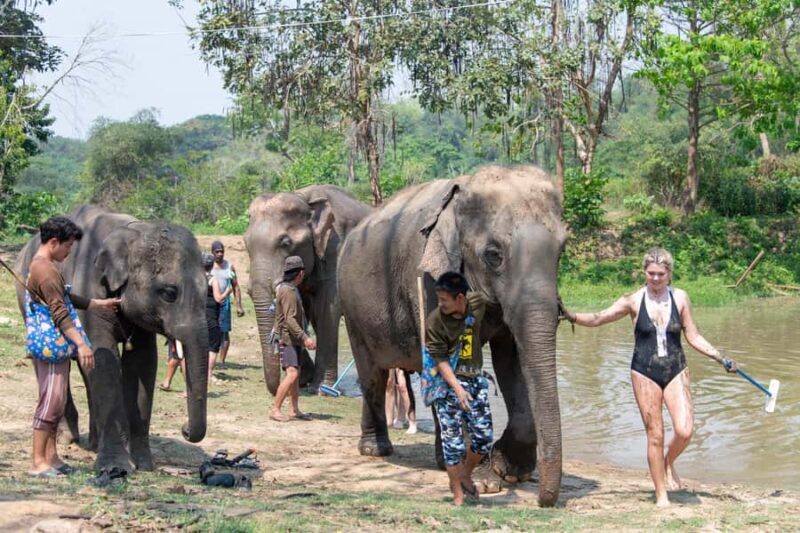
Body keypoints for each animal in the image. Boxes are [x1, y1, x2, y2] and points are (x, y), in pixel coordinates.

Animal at [15, 205, 209, 473]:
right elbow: (104, 358)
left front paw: (144, 465)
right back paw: (68, 439)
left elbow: (142, 363)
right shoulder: (89, 283)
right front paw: (115, 466)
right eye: (170, 293)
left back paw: (95, 443)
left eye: (208, 291)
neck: (134, 230)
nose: (185, 429)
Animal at [245, 185, 371, 394]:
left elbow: (328, 310)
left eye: (285, 243)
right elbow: (298, 308)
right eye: (246, 244)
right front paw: (303, 379)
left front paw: (320, 389)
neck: (305, 197)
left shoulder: (335, 247)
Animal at [337, 165, 567, 507]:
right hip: (352, 309)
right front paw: (486, 482)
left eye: (562, 250)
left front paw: (509, 471)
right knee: (373, 376)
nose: (544, 501)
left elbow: (512, 359)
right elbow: (443, 358)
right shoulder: (425, 279)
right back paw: (376, 450)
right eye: (494, 254)